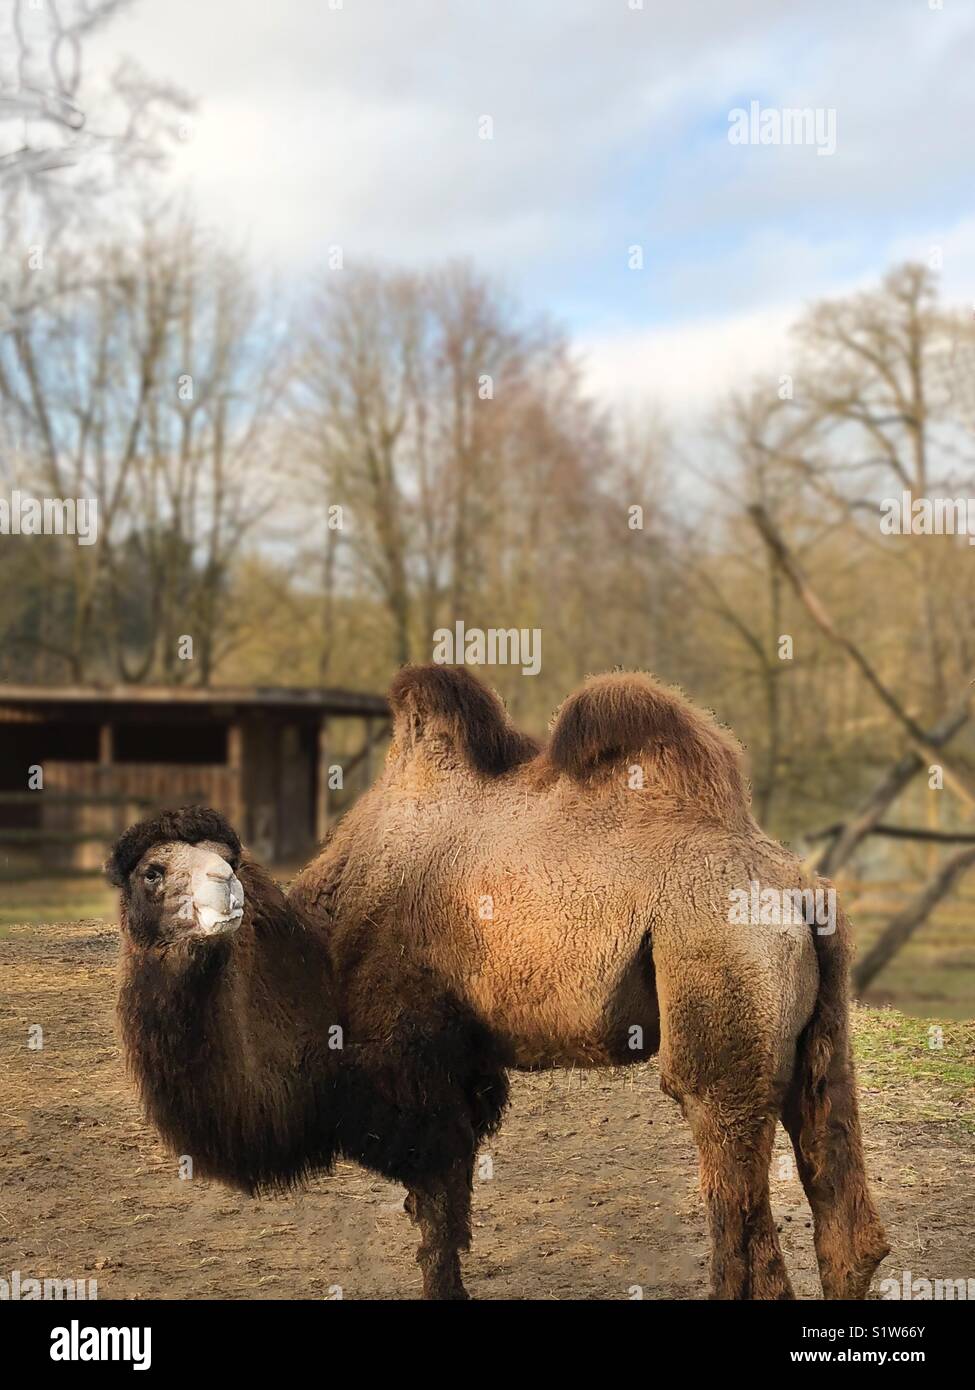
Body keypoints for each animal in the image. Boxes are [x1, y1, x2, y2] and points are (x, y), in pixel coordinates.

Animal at [109, 665, 888, 1300]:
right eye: (153, 871)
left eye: (223, 862)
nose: (226, 896)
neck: (324, 955)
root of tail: (797, 884)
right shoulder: (468, 1061)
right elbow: (450, 1206)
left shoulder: (414, 1055)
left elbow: (434, 1213)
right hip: (816, 1033)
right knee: (841, 1213)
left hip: (715, 982)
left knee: (738, 1207)